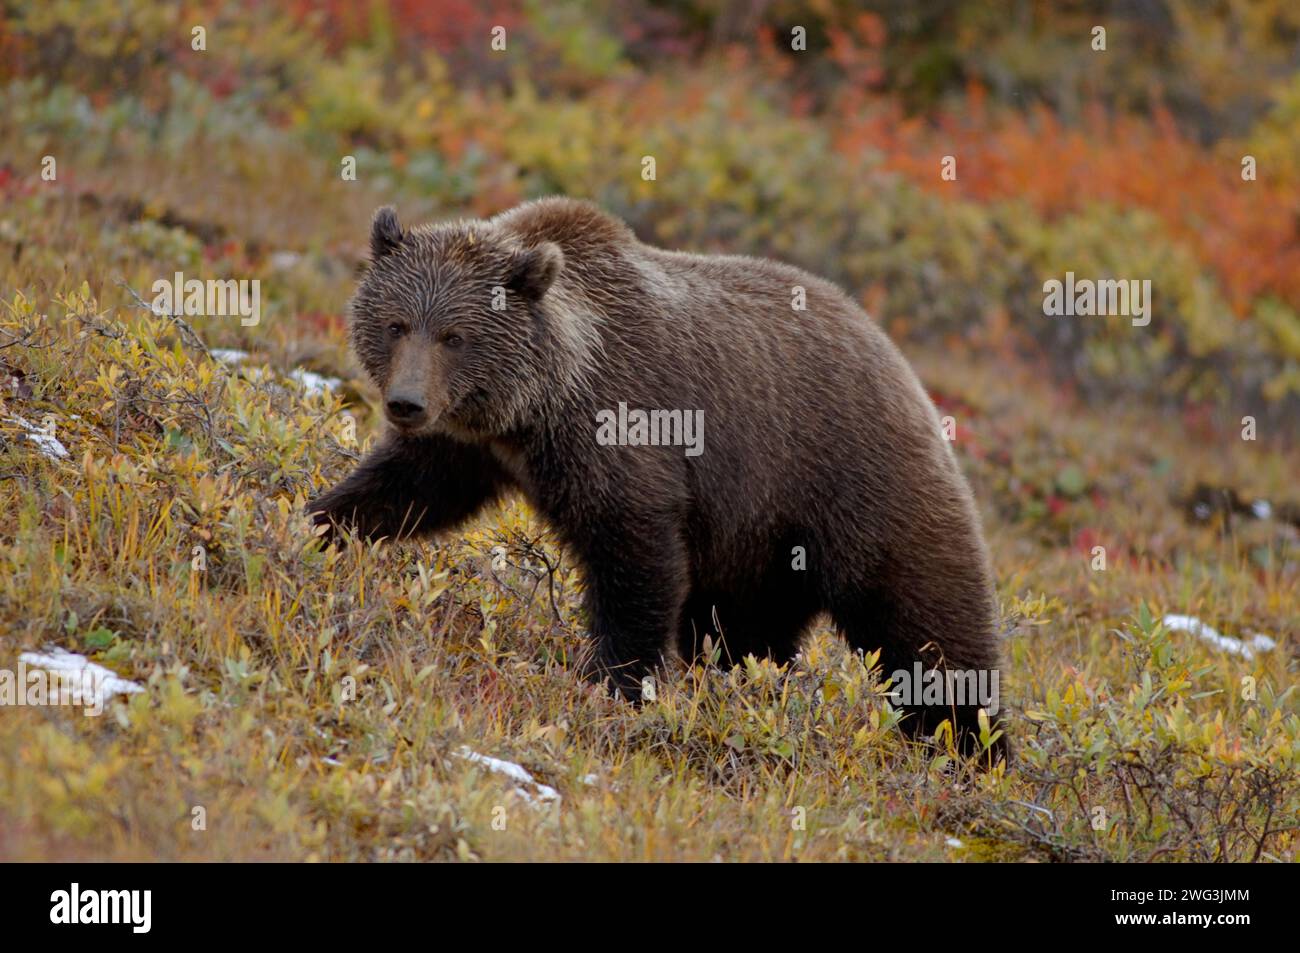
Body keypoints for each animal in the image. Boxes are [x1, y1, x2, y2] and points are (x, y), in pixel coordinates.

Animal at [309, 197, 1008, 763]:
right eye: (396, 322)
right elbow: (406, 490)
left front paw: (618, 684)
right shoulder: (469, 446)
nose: (406, 403)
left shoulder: (621, 432)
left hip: (854, 484)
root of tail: (901, 362)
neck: (534, 408)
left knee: (927, 626)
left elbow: (635, 559)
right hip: (762, 544)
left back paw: (970, 750)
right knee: (744, 635)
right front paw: (319, 524)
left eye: (455, 335)